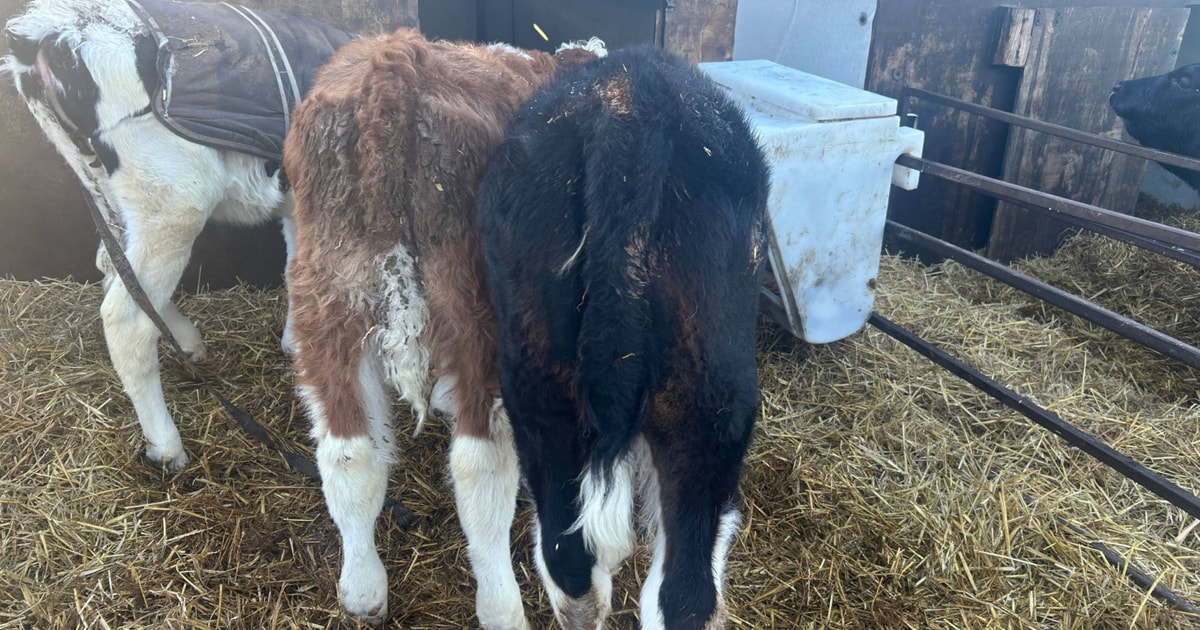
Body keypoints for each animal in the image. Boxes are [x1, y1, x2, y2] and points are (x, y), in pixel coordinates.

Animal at [2, 0, 351, 470]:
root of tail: (52, 28)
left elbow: (299, 268)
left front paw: (295, 343)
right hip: (173, 201)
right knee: (127, 319)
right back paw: (166, 446)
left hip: (110, 192)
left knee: (117, 269)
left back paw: (185, 341)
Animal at [280, 28, 605, 626]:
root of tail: (394, 66)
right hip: (480, 315)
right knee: (481, 464)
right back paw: (501, 607)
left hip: (328, 296)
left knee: (348, 452)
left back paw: (363, 591)